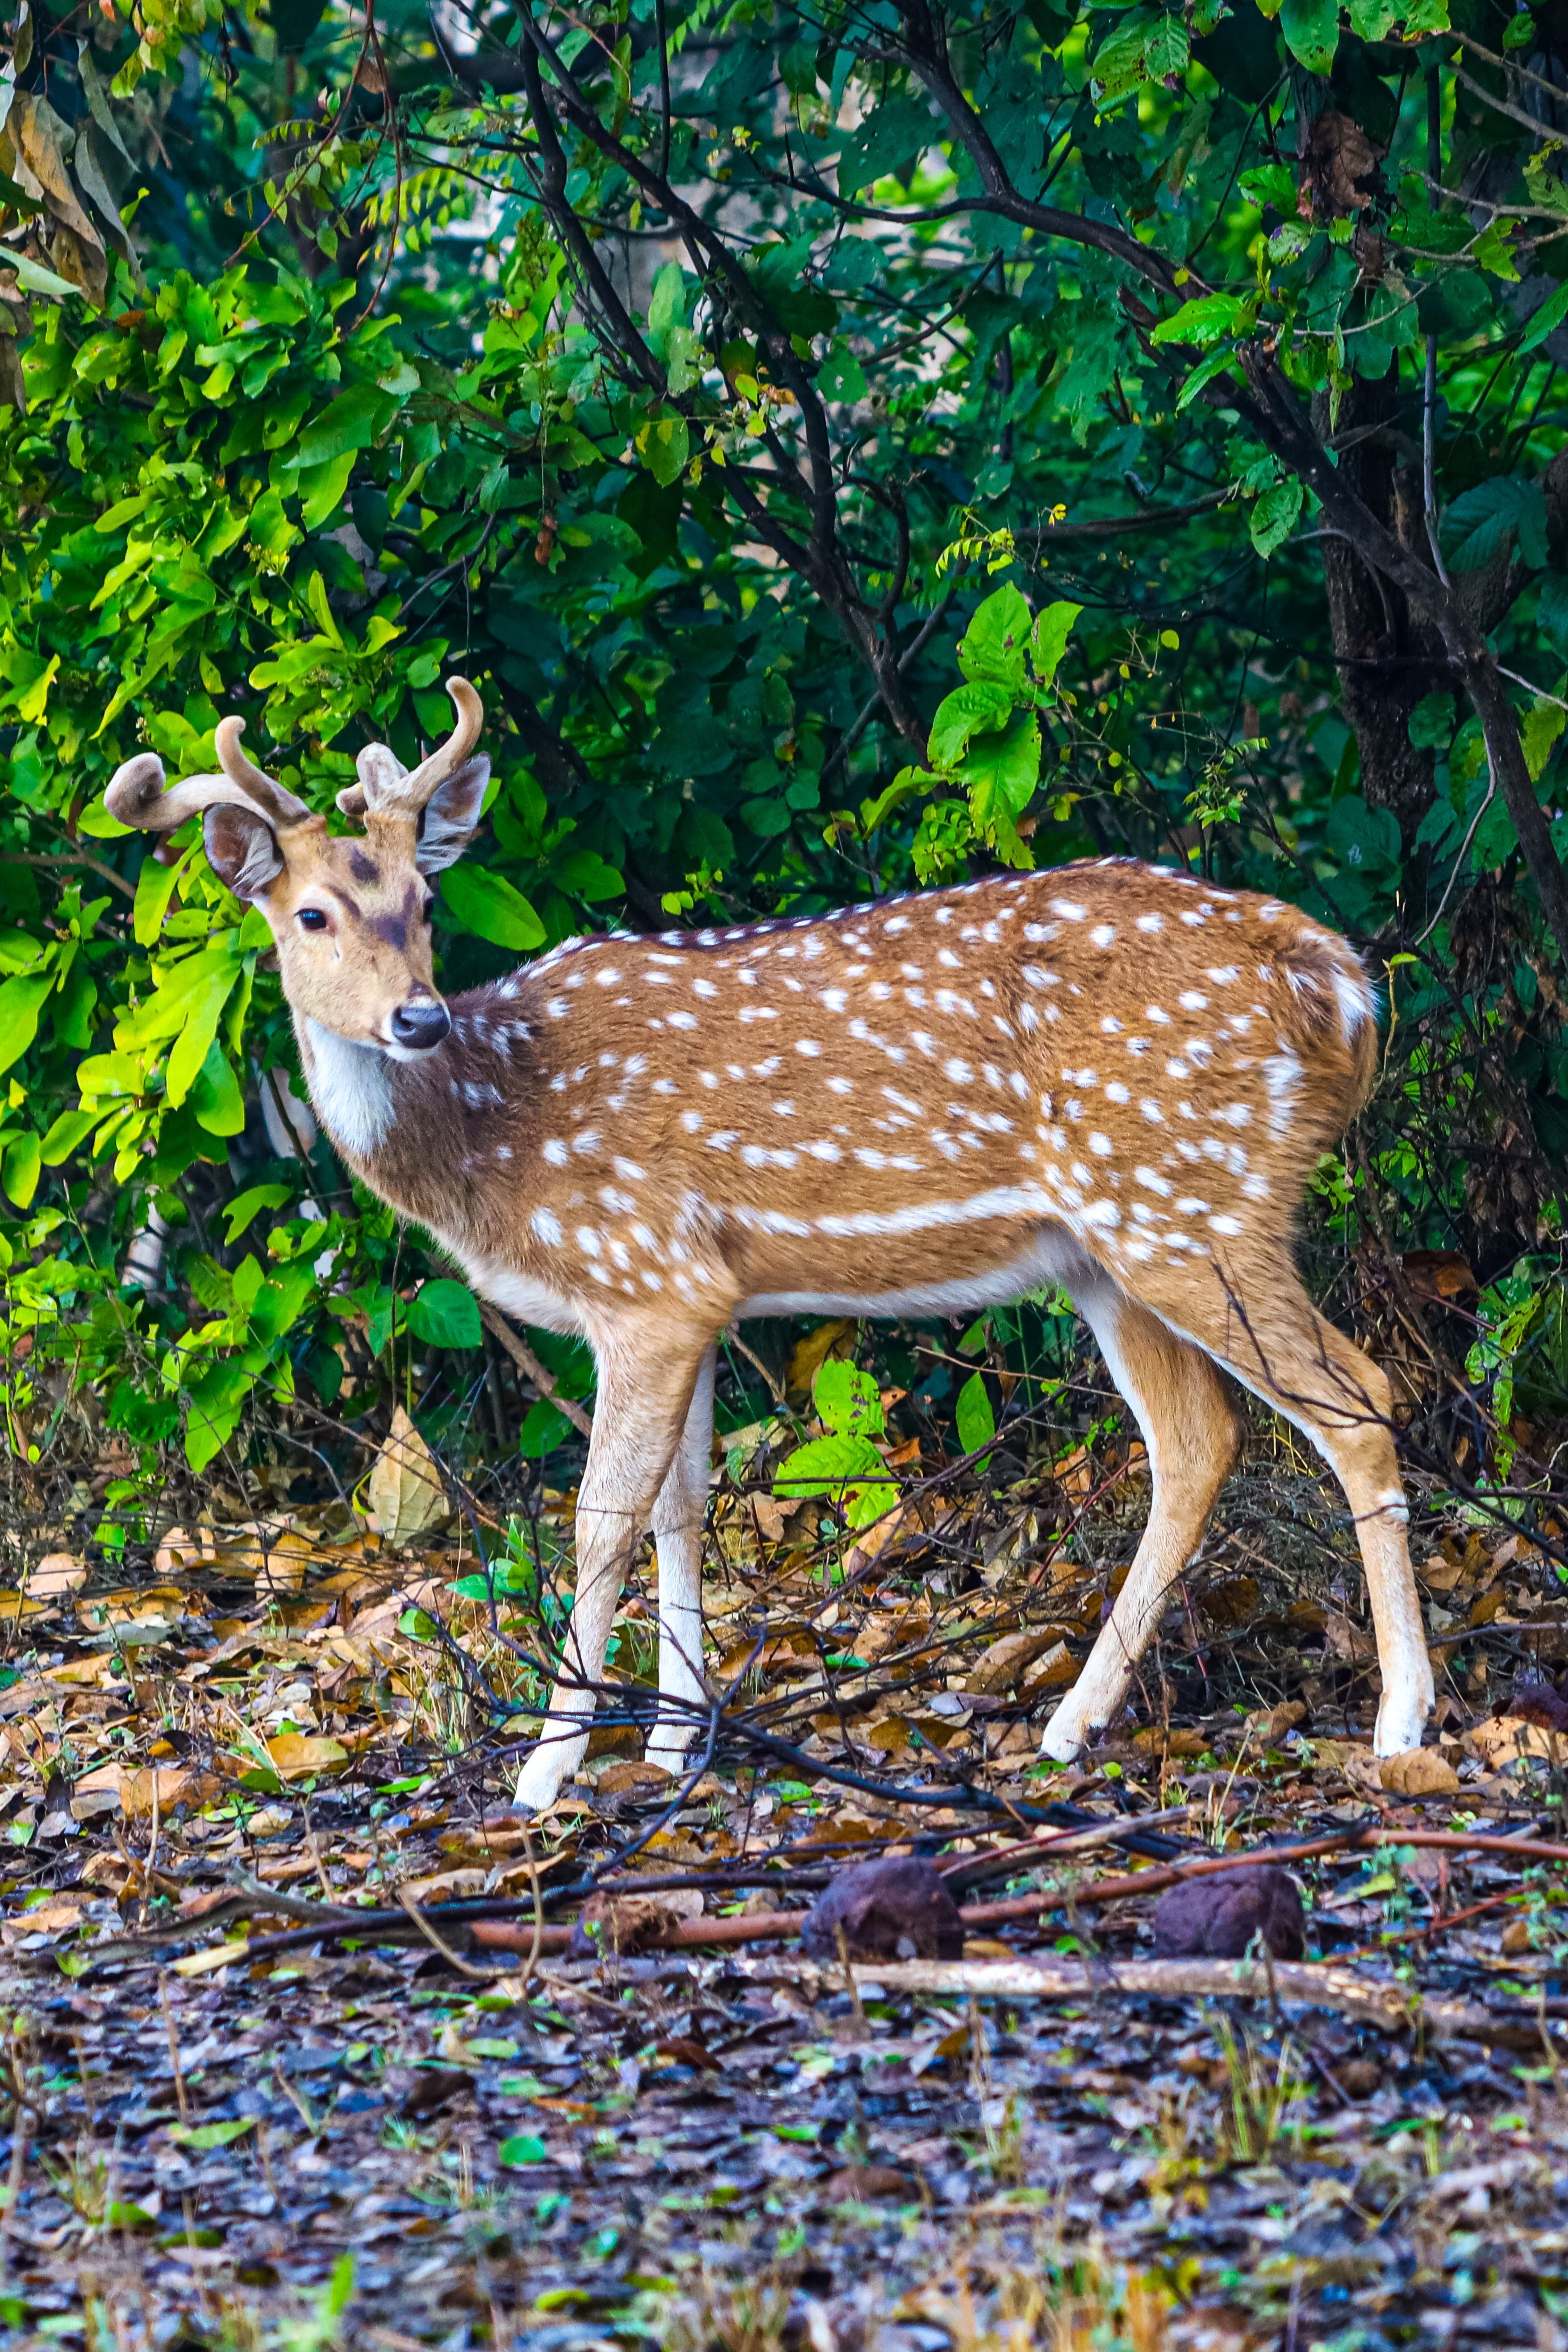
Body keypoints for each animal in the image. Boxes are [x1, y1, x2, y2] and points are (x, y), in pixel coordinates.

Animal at [106, 678, 1435, 1813]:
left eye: (426, 907)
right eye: (313, 912)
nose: (417, 1018)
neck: (496, 1141)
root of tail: (1348, 992)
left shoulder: (643, 1277)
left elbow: (600, 1516)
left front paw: (546, 1771)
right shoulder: (693, 1296)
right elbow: (683, 1508)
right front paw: (673, 1742)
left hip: (1196, 1200)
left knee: (1361, 1400)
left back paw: (1400, 1724)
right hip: (1109, 1250)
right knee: (1199, 1441)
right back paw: (1069, 1728)